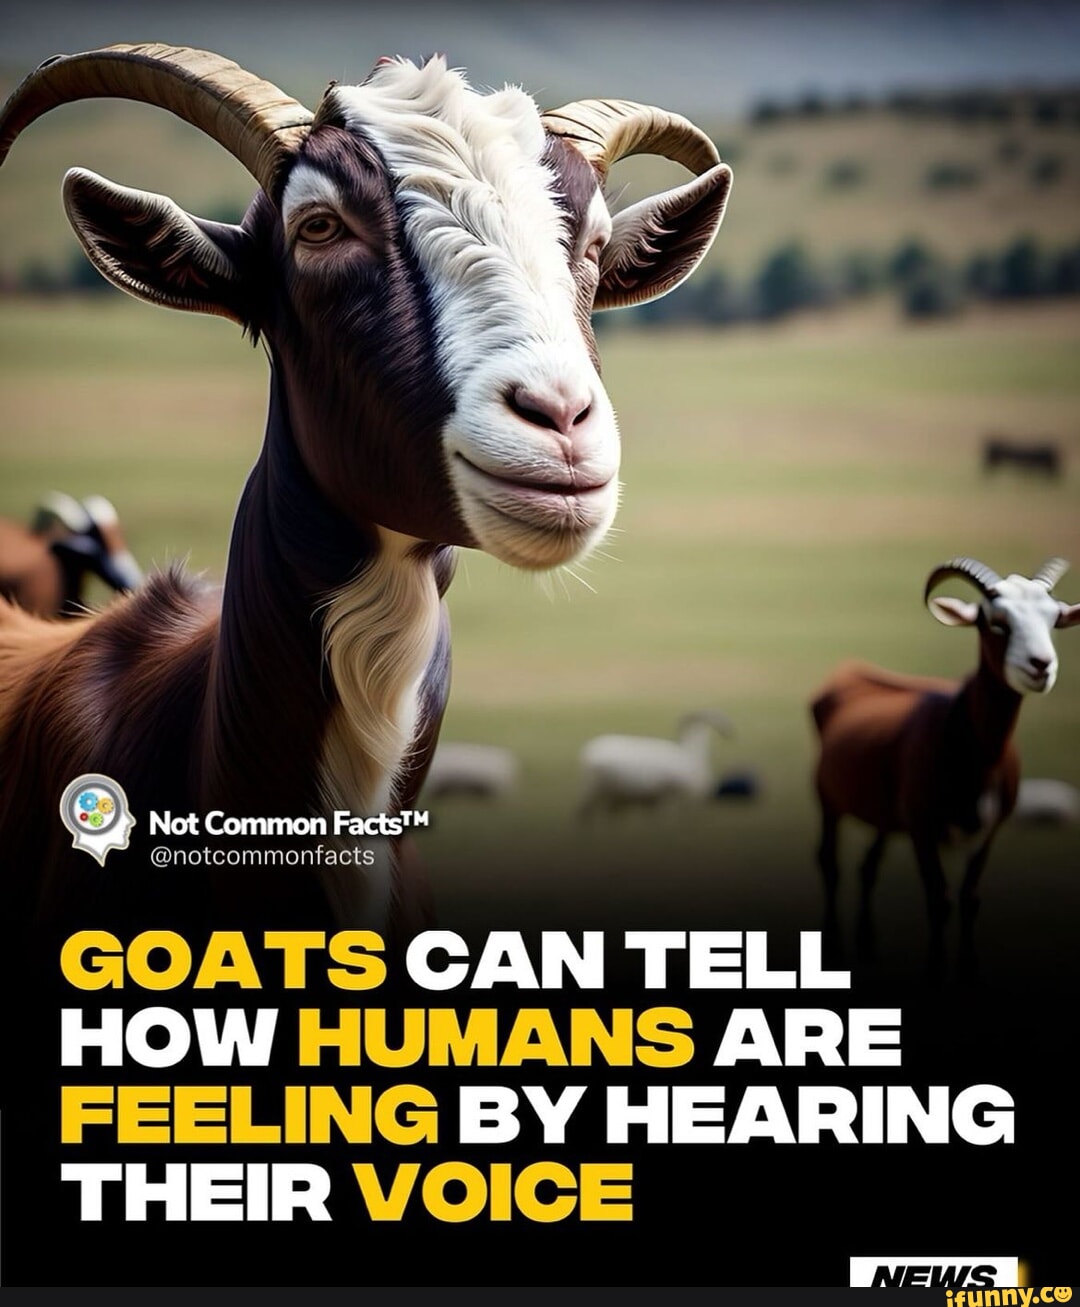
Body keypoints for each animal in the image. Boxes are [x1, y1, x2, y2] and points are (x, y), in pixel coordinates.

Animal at [578, 709, 734, 817]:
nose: (729, 732)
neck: (691, 755)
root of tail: (588, 751)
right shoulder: (668, 800)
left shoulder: (656, 803)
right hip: (594, 794)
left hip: (612, 798)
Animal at [811, 556, 1080, 963]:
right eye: (996, 622)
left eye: (1054, 618)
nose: (1040, 665)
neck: (973, 755)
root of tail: (853, 674)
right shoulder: (923, 829)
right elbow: (939, 901)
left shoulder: (988, 831)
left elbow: (970, 900)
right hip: (829, 799)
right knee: (830, 864)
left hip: (885, 817)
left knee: (868, 867)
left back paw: (867, 942)